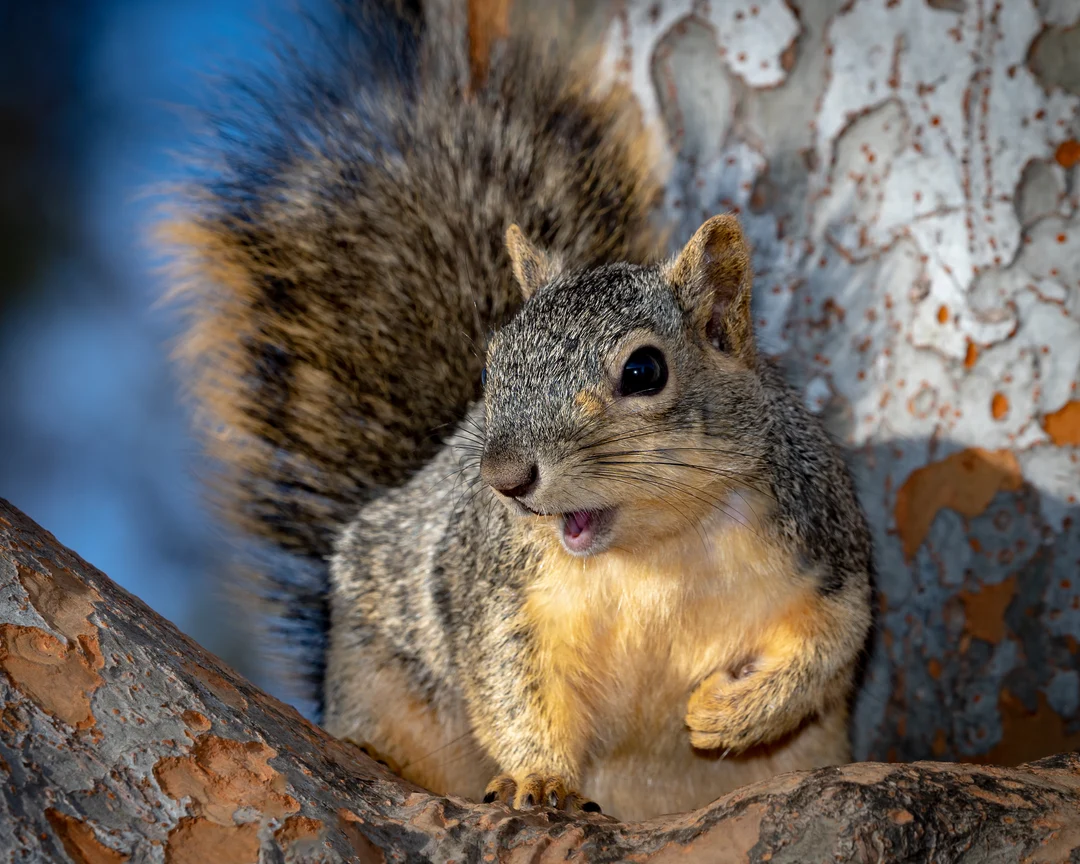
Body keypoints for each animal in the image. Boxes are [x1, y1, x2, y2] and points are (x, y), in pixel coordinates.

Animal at [162, 0, 874, 821]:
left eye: (644, 370)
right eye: (490, 365)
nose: (504, 478)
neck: (659, 548)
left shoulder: (825, 542)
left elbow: (828, 647)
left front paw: (725, 714)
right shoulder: (497, 594)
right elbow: (512, 689)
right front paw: (538, 779)